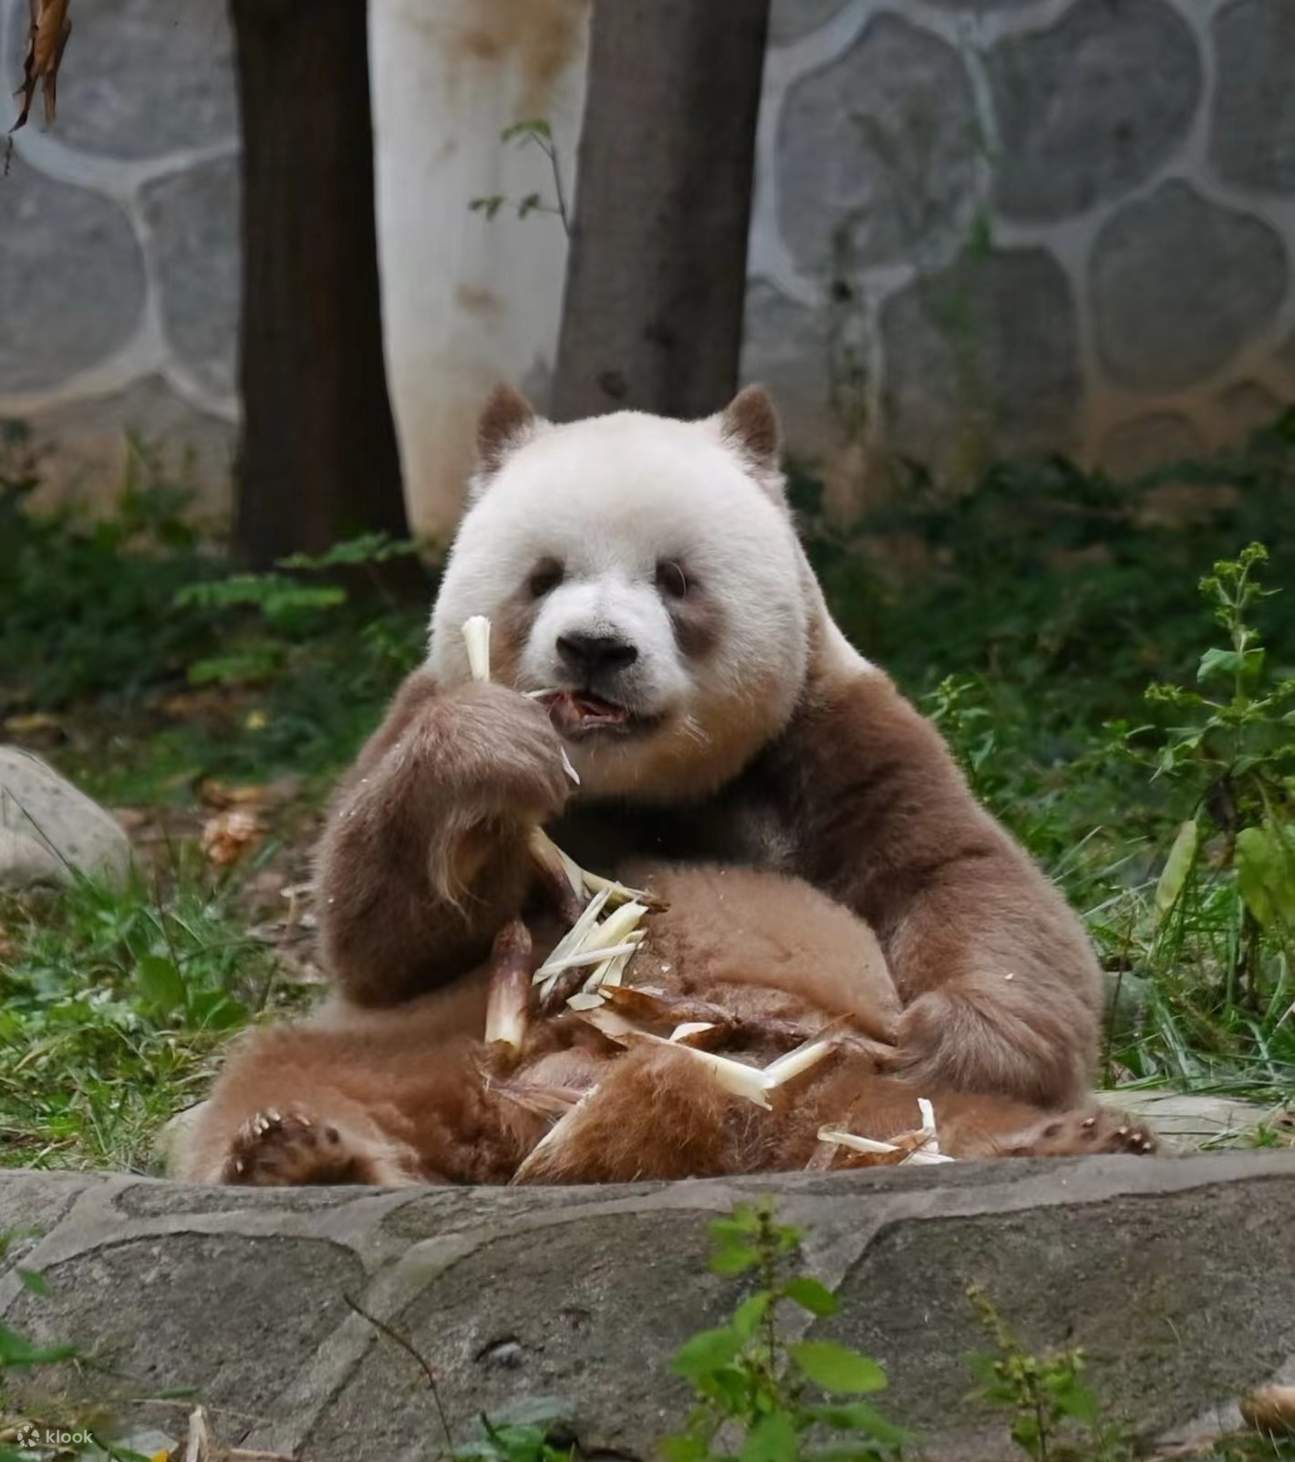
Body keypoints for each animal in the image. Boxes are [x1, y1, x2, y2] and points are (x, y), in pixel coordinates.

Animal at [176, 385, 1136, 1186]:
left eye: (674, 579)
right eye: (544, 576)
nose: (595, 648)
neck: (630, 784)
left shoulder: (826, 730)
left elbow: (955, 873)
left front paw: (950, 1041)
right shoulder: (413, 718)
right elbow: (384, 943)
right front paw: (486, 759)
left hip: (795, 1061)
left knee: (899, 1111)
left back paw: (1061, 1139)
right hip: (438, 1049)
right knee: (290, 1068)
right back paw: (301, 1153)